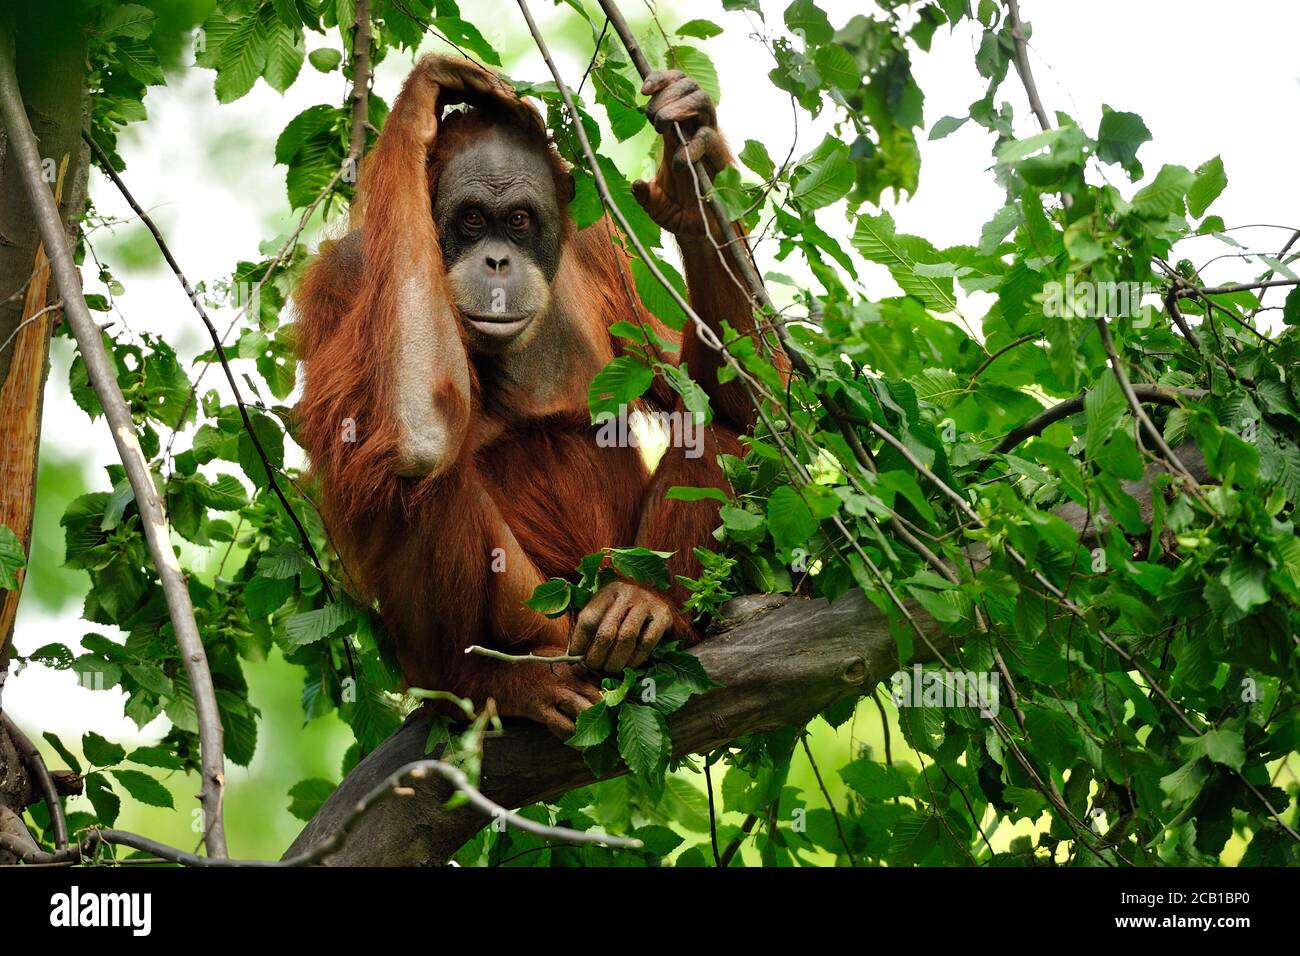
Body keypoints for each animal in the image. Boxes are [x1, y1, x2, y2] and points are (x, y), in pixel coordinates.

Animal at [295, 55, 774, 737]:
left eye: (518, 220)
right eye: (471, 219)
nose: (497, 261)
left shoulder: (601, 249)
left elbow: (737, 397)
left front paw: (691, 168)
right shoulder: (349, 271)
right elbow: (409, 440)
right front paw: (424, 97)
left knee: (719, 426)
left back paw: (645, 605)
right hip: (535, 627)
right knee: (428, 484)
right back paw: (488, 683)